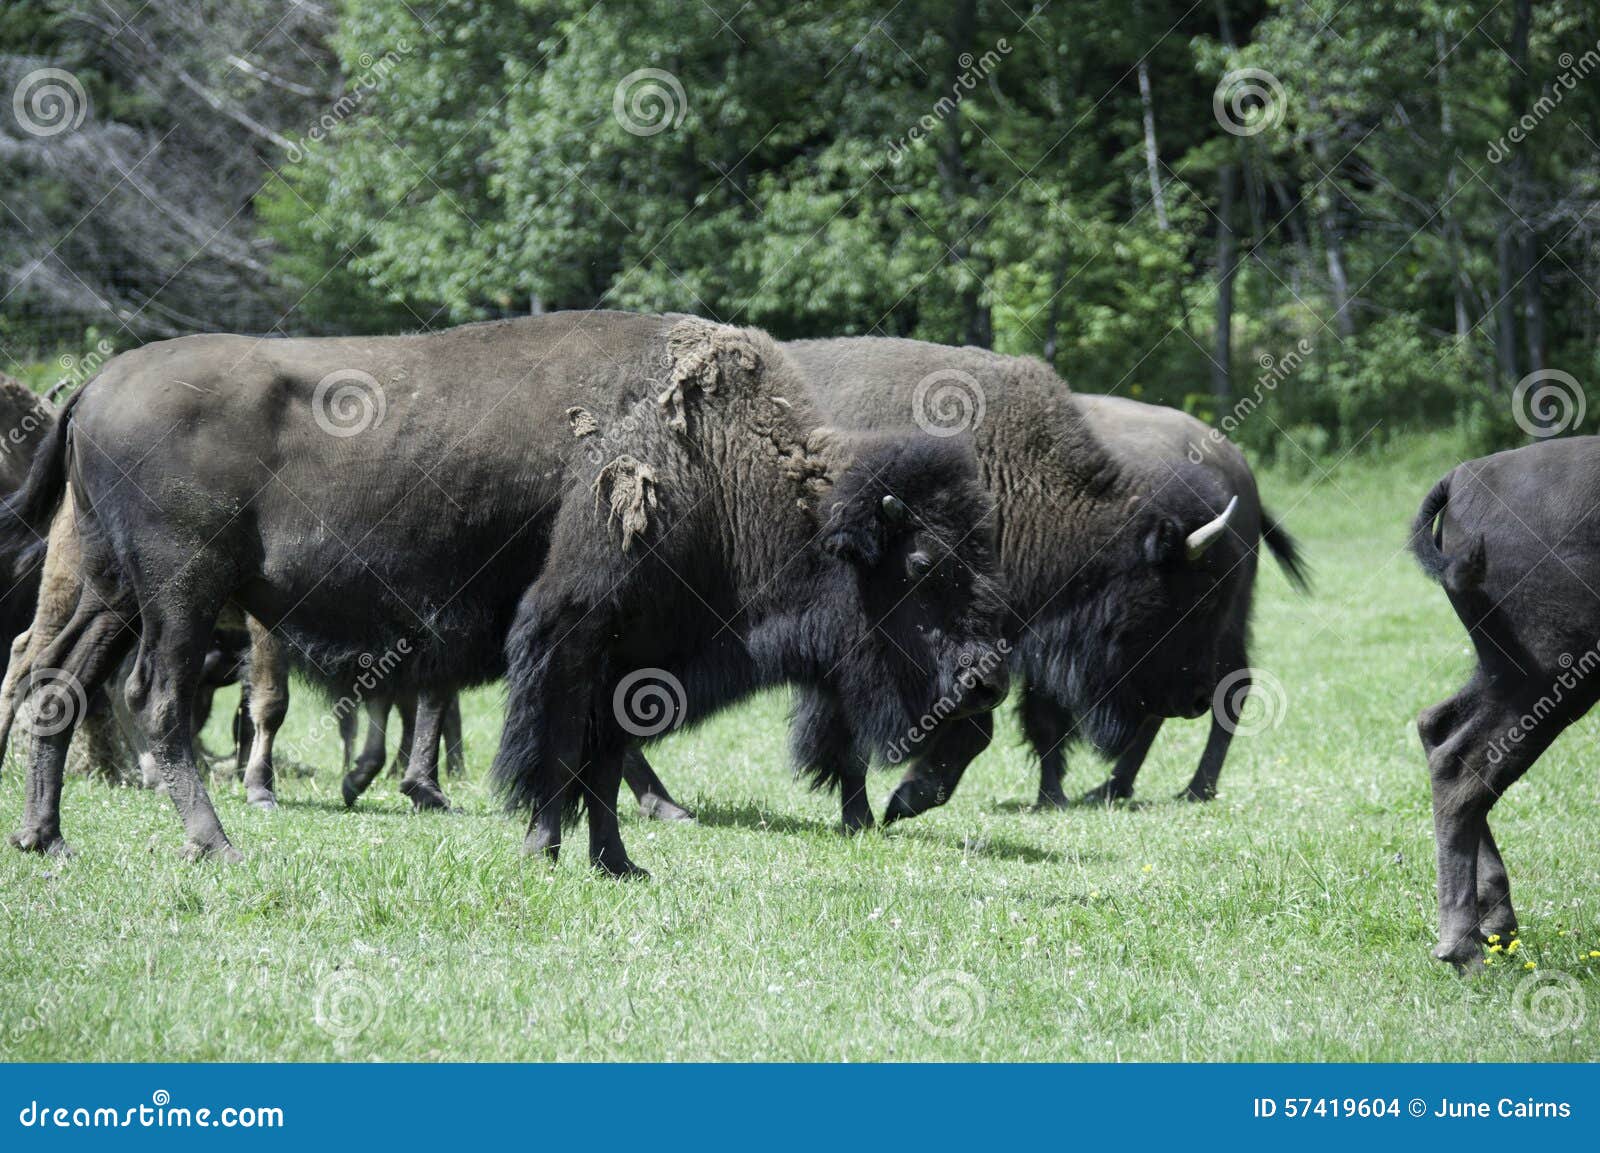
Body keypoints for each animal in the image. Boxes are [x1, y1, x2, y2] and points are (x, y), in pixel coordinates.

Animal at [2, 312, 1007, 873]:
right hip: (179, 589)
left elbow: (604, 754)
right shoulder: (573, 632)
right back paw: (214, 843)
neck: (714, 460)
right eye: (924, 565)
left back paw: (48, 841)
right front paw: (543, 846)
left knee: (55, 682)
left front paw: (618, 865)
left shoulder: (632, 655)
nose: (988, 678)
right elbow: (556, 749)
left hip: (107, 587)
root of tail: (97, 383)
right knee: (157, 701)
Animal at [1412, 438, 1600, 965]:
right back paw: (1463, 948)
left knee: (1438, 728)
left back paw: (1493, 924)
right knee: (1460, 765)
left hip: (1506, 672)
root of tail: (1461, 478)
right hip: (1554, 675)